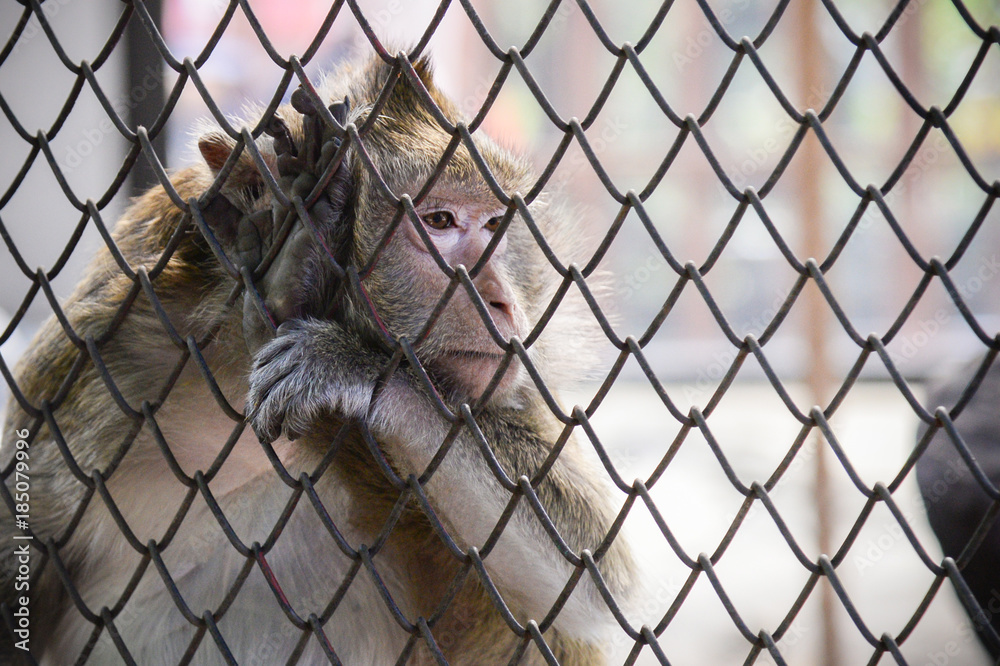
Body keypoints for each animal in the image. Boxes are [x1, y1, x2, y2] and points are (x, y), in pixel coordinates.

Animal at [0, 53, 637, 665]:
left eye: (495, 223)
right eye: (439, 221)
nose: (502, 301)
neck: (230, 377)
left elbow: (589, 578)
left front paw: (346, 366)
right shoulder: (104, 351)